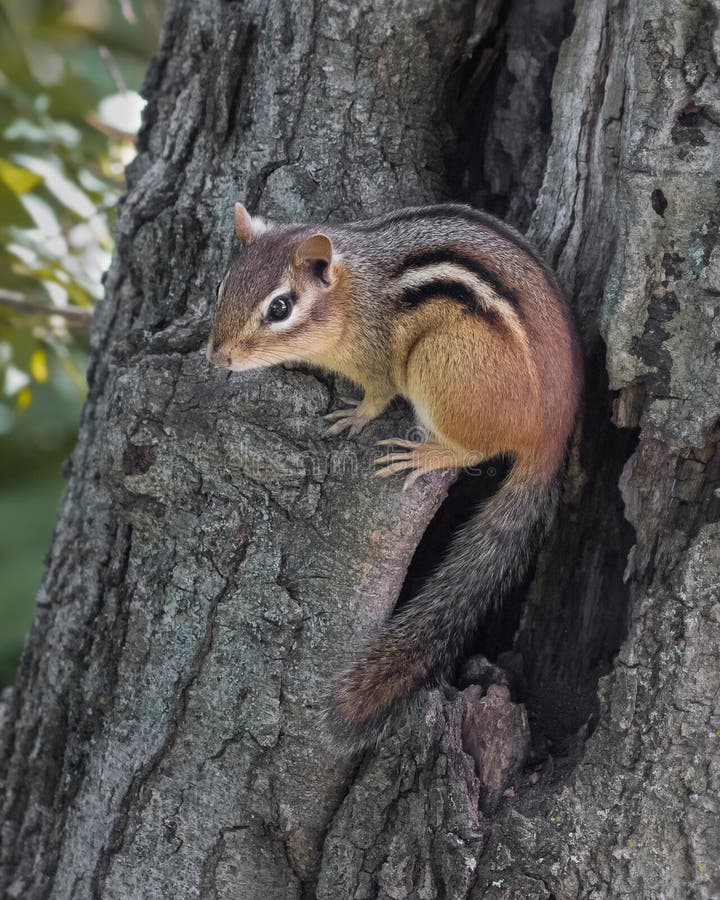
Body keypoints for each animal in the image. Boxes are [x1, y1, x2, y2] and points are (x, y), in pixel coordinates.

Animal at [208, 201, 582, 752]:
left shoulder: (379, 362)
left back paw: (422, 456)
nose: (217, 357)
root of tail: (552, 437)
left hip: (440, 363)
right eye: (222, 285)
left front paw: (355, 417)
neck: (352, 295)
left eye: (280, 308)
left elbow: (378, 396)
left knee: (476, 448)